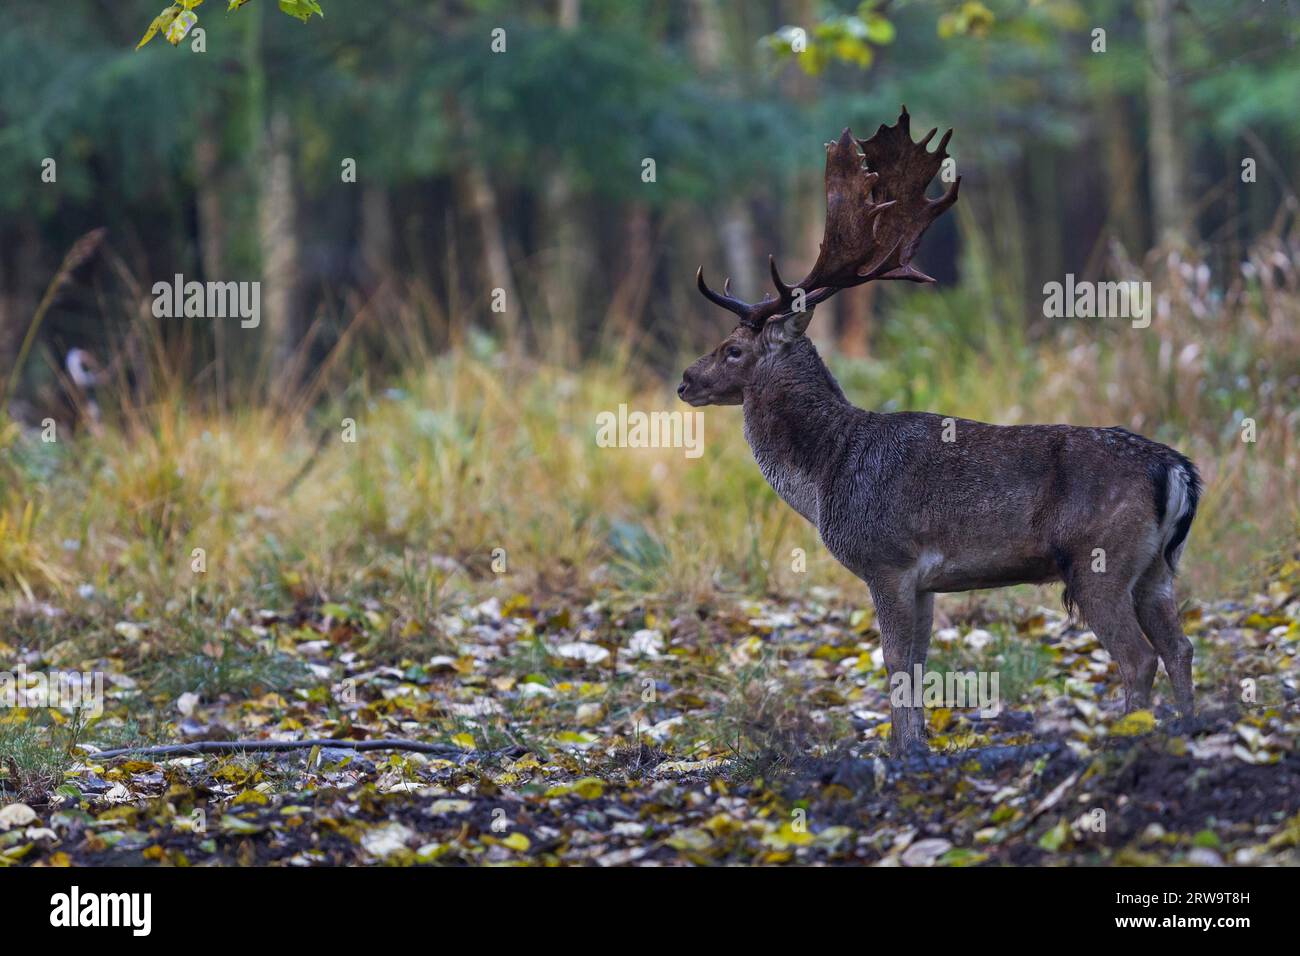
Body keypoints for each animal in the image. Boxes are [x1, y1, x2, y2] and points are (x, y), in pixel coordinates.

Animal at [678, 108, 1201, 757]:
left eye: (733, 349)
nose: (685, 380)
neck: (826, 474)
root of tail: (1176, 470)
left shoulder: (887, 561)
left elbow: (896, 664)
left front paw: (902, 752)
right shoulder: (925, 582)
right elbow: (920, 666)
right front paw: (918, 746)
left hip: (1098, 558)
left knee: (1138, 658)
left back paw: (1130, 736)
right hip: (1156, 567)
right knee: (1180, 647)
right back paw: (1191, 728)